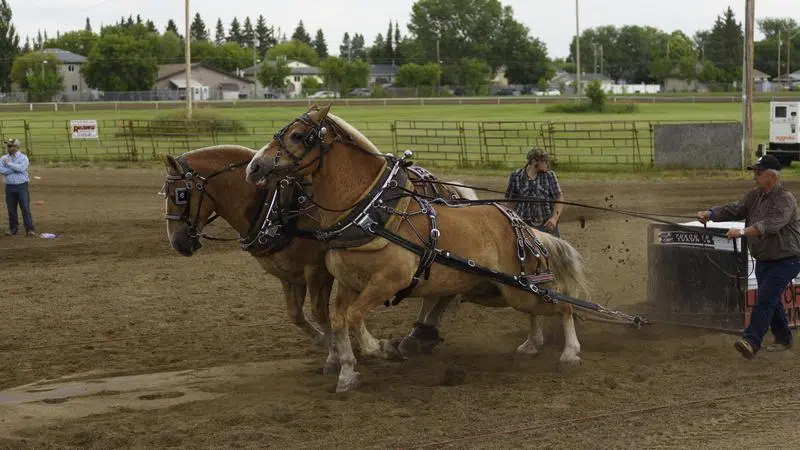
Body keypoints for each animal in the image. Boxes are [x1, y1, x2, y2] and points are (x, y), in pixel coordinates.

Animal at [162, 144, 480, 366]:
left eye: (181, 193)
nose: (177, 242)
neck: (278, 205)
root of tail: (447, 188)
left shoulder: (317, 270)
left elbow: (319, 312)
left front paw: (335, 353)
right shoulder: (288, 274)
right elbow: (296, 315)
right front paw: (325, 343)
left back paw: (419, 335)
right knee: (443, 291)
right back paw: (420, 336)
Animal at [245, 105, 592, 392]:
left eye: (298, 135)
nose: (254, 167)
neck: (372, 214)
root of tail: (519, 222)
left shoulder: (388, 281)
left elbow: (356, 316)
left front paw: (383, 349)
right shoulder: (347, 283)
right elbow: (340, 319)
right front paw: (347, 373)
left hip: (515, 289)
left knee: (561, 305)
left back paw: (570, 354)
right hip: (497, 289)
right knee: (537, 309)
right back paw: (531, 344)